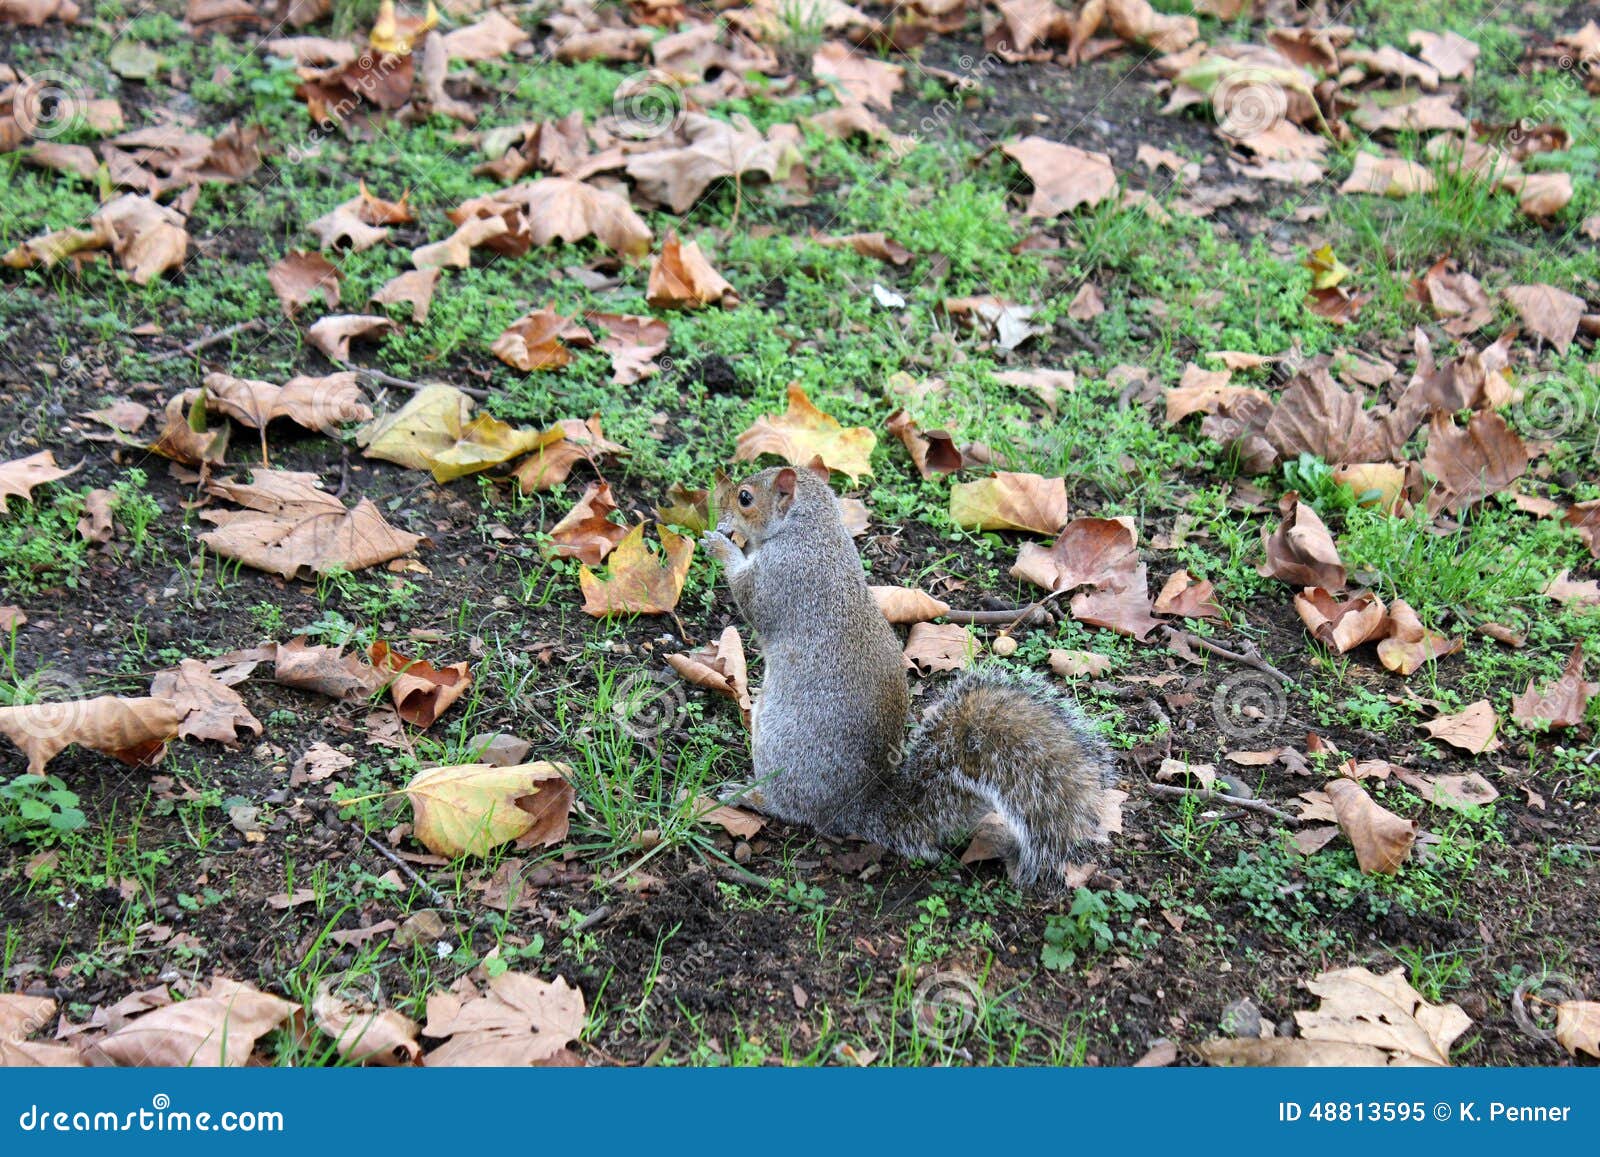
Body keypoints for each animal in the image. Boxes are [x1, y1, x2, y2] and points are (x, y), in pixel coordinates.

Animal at [701, 464, 1118, 889]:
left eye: (745, 497)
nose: (717, 504)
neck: (810, 529)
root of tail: (852, 808)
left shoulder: (781, 576)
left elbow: (750, 600)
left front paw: (721, 546)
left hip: (778, 750)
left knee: (789, 808)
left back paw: (747, 796)